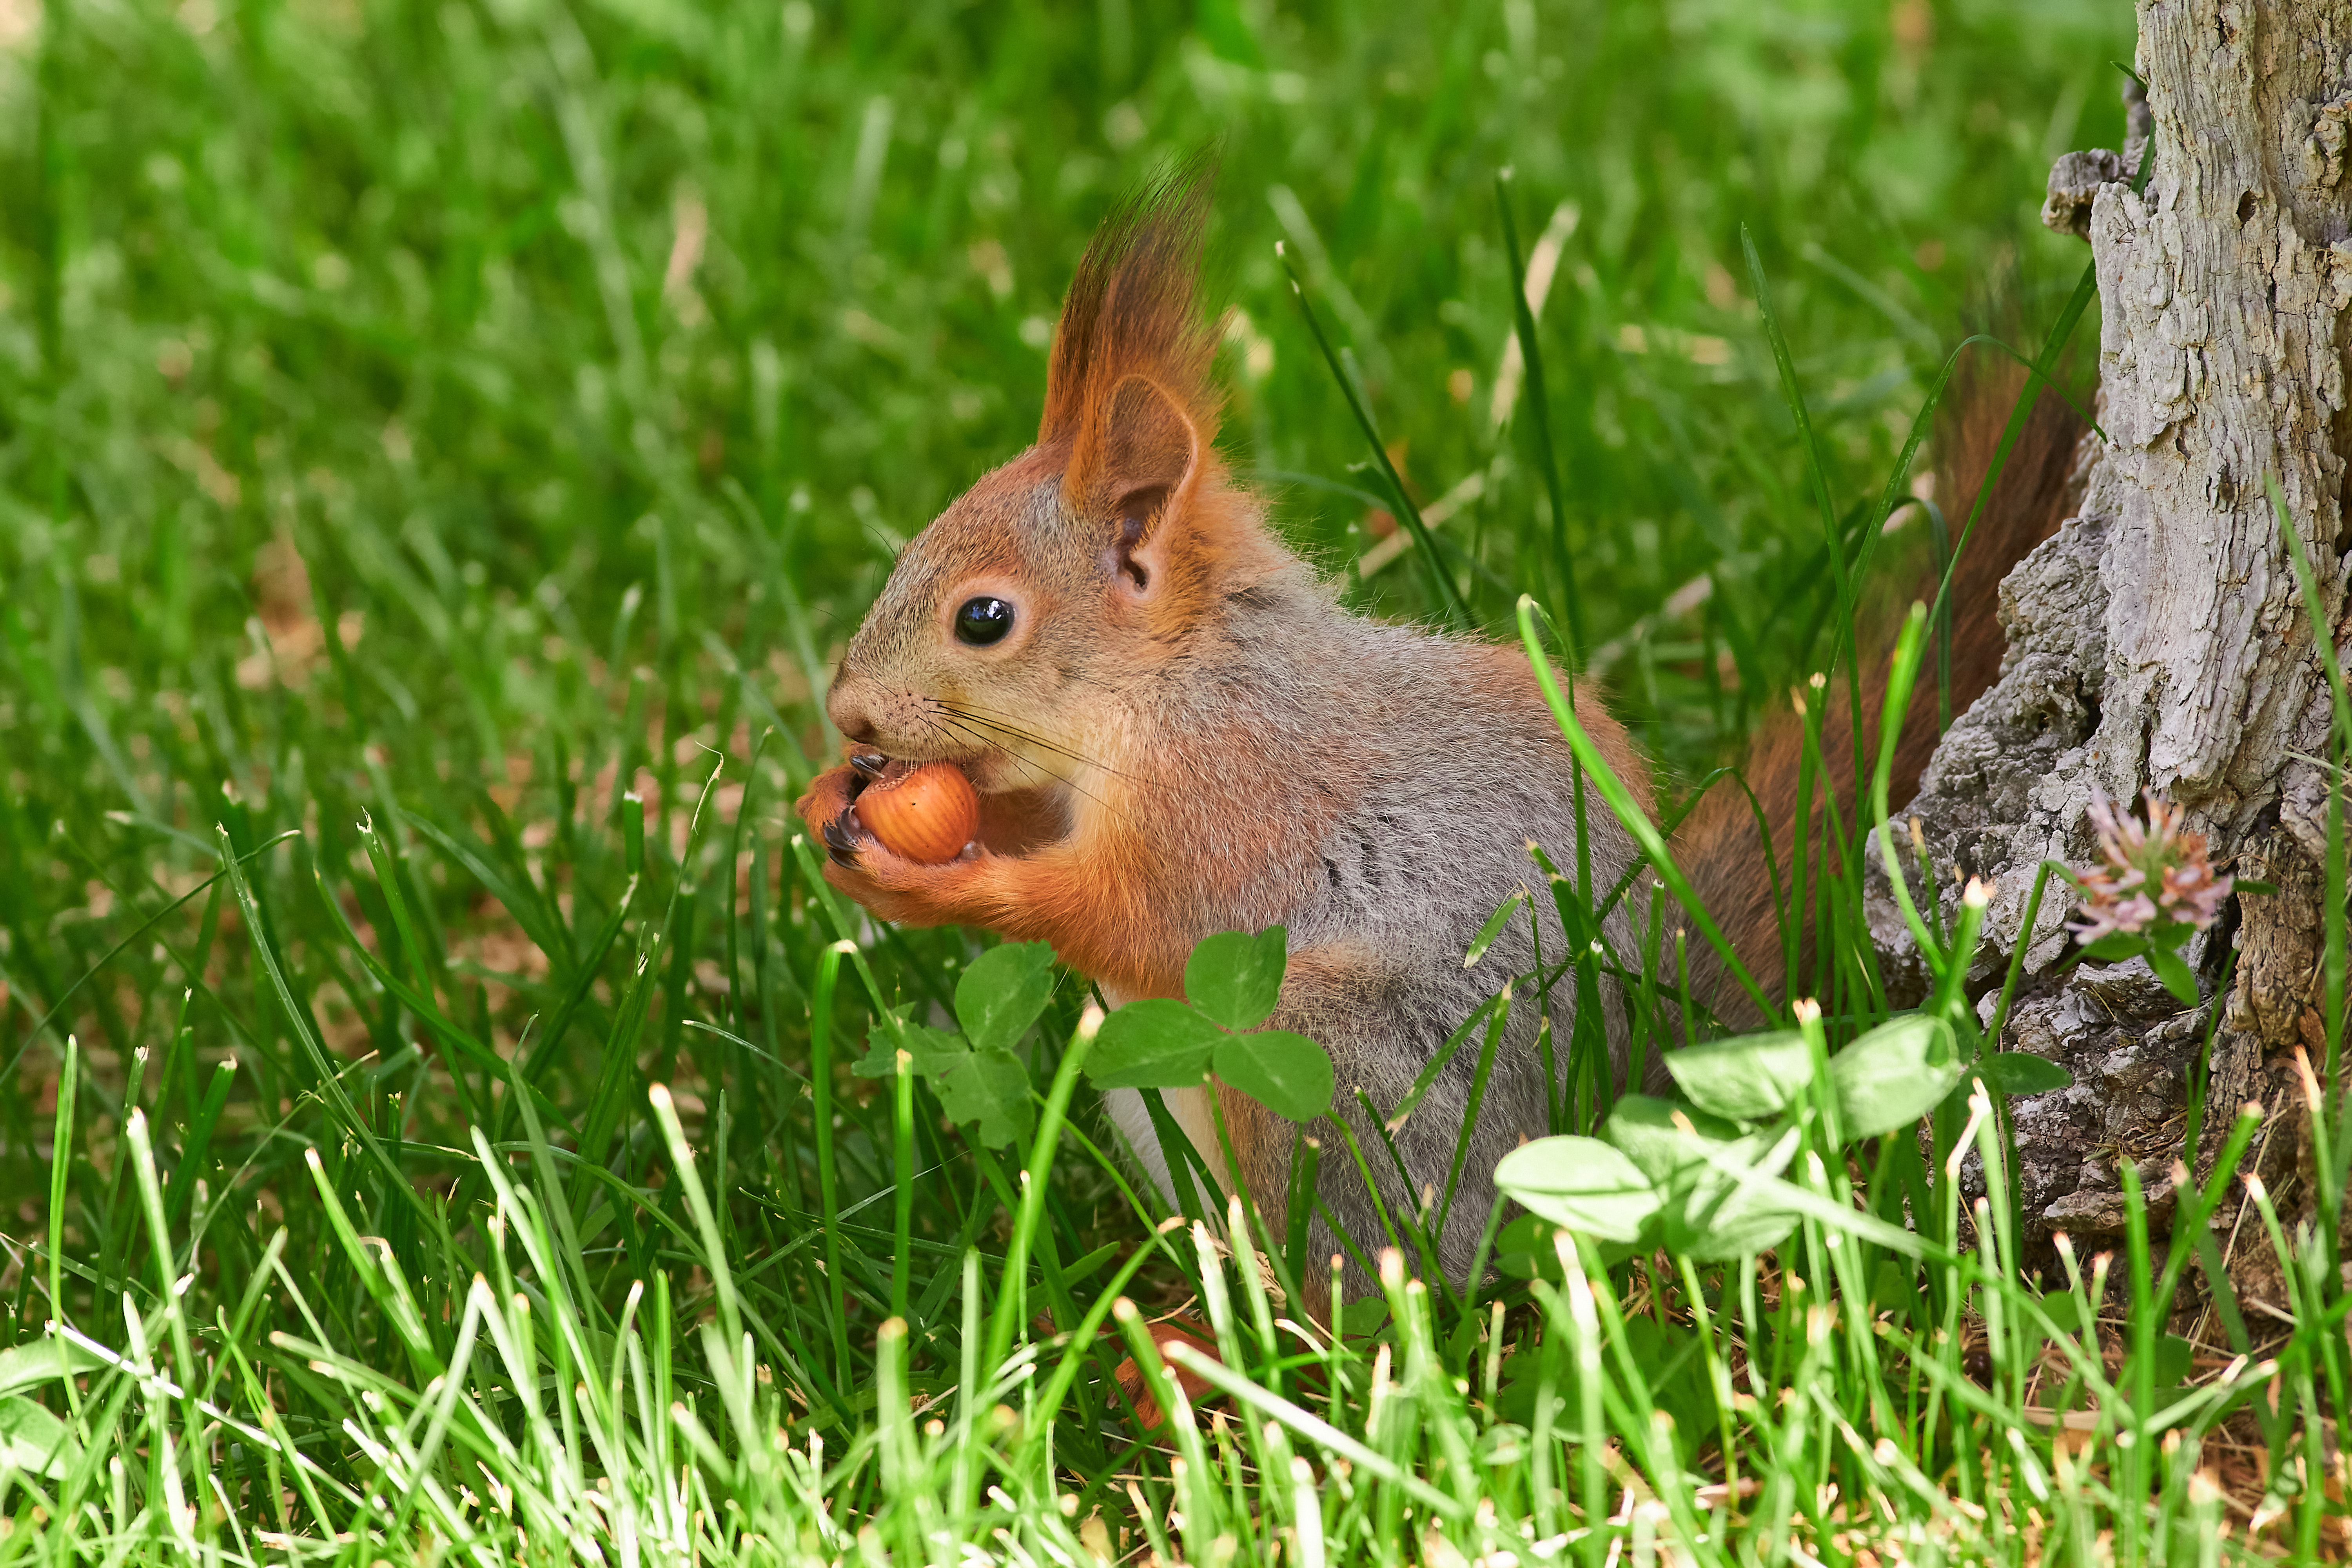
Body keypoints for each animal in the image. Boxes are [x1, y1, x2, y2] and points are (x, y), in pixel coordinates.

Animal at [800, 171, 2089, 1316]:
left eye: (984, 619)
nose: (849, 710)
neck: (1168, 682)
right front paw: (833, 799)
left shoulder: (1227, 796)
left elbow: (1122, 915)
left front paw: (938, 877)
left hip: (1343, 1073)